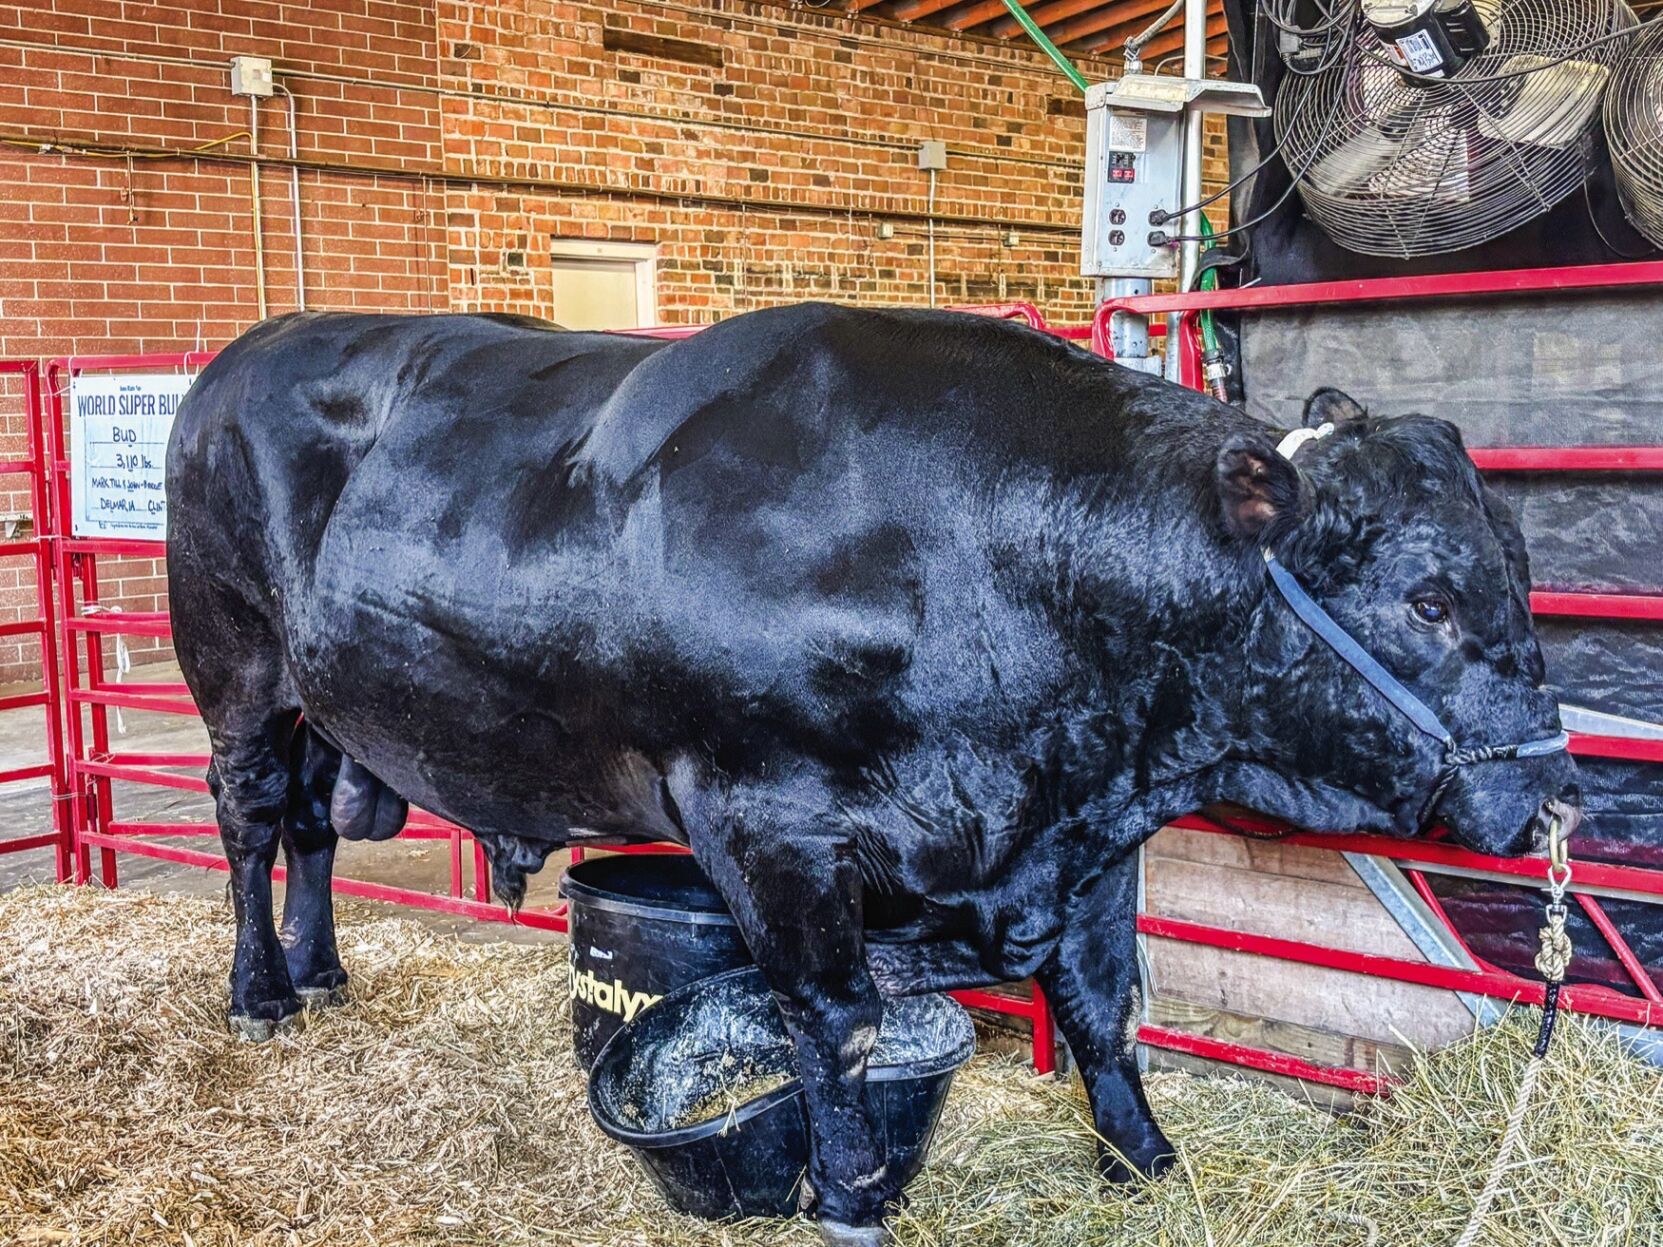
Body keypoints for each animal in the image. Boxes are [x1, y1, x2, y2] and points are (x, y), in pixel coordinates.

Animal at [166, 303, 1577, 1245]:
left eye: (1513, 570)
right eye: (1430, 599)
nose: (1546, 792)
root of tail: (252, 347)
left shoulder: (1090, 832)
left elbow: (1099, 1001)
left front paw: (1145, 1160)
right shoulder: (771, 827)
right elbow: (833, 1023)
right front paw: (847, 1199)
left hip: (321, 706)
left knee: (314, 829)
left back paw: (324, 969)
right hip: (232, 665)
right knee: (249, 821)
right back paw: (260, 991)